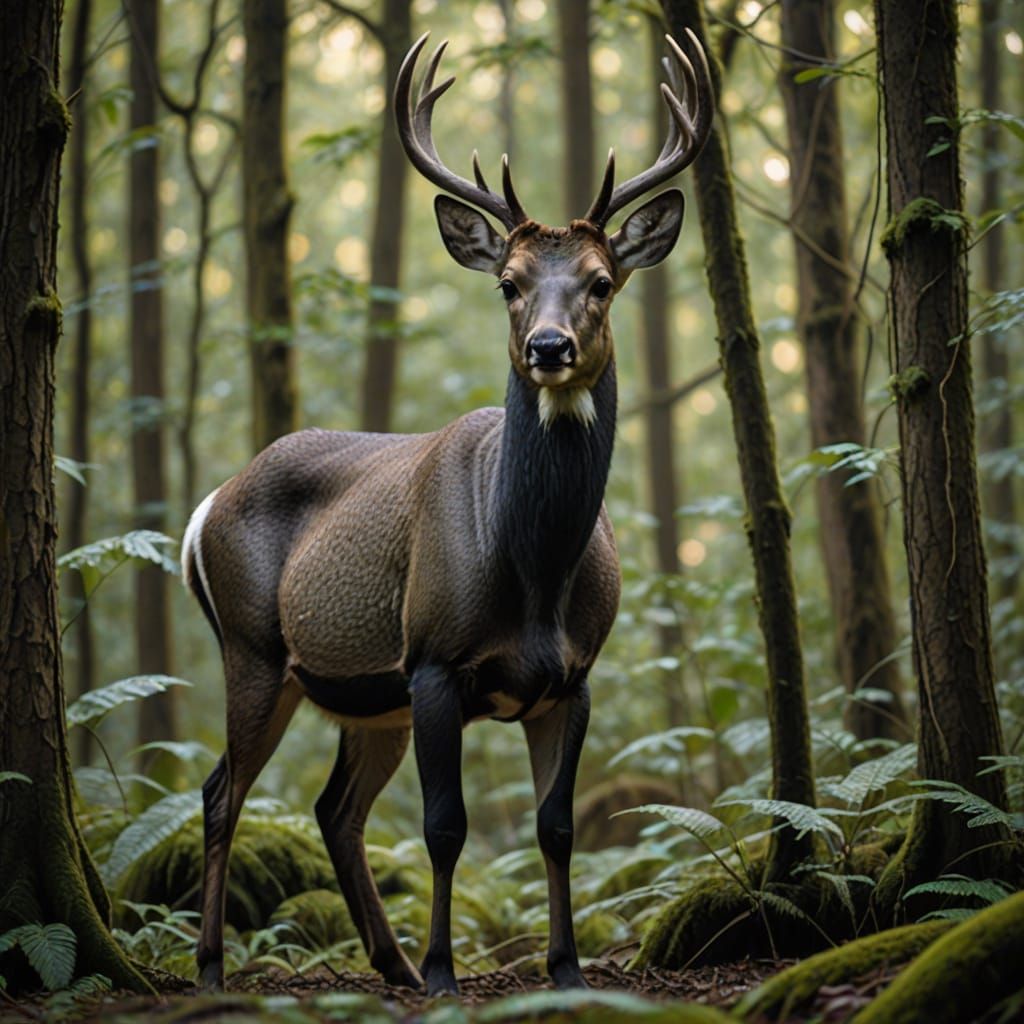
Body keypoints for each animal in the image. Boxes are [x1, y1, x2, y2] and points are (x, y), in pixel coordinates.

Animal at [182, 28, 712, 996]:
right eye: (508, 281)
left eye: (602, 280)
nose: (550, 347)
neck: (533, 572)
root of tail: (207, 508)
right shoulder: (432, 658)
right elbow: (445, 826)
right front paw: (443, 971)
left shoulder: (572, 676)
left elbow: (556, 825)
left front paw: (564, 967)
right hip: (253, 646)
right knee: (222, 792)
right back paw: (212, 966)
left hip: (365, 696)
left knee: (332, 807)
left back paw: (383, 960)